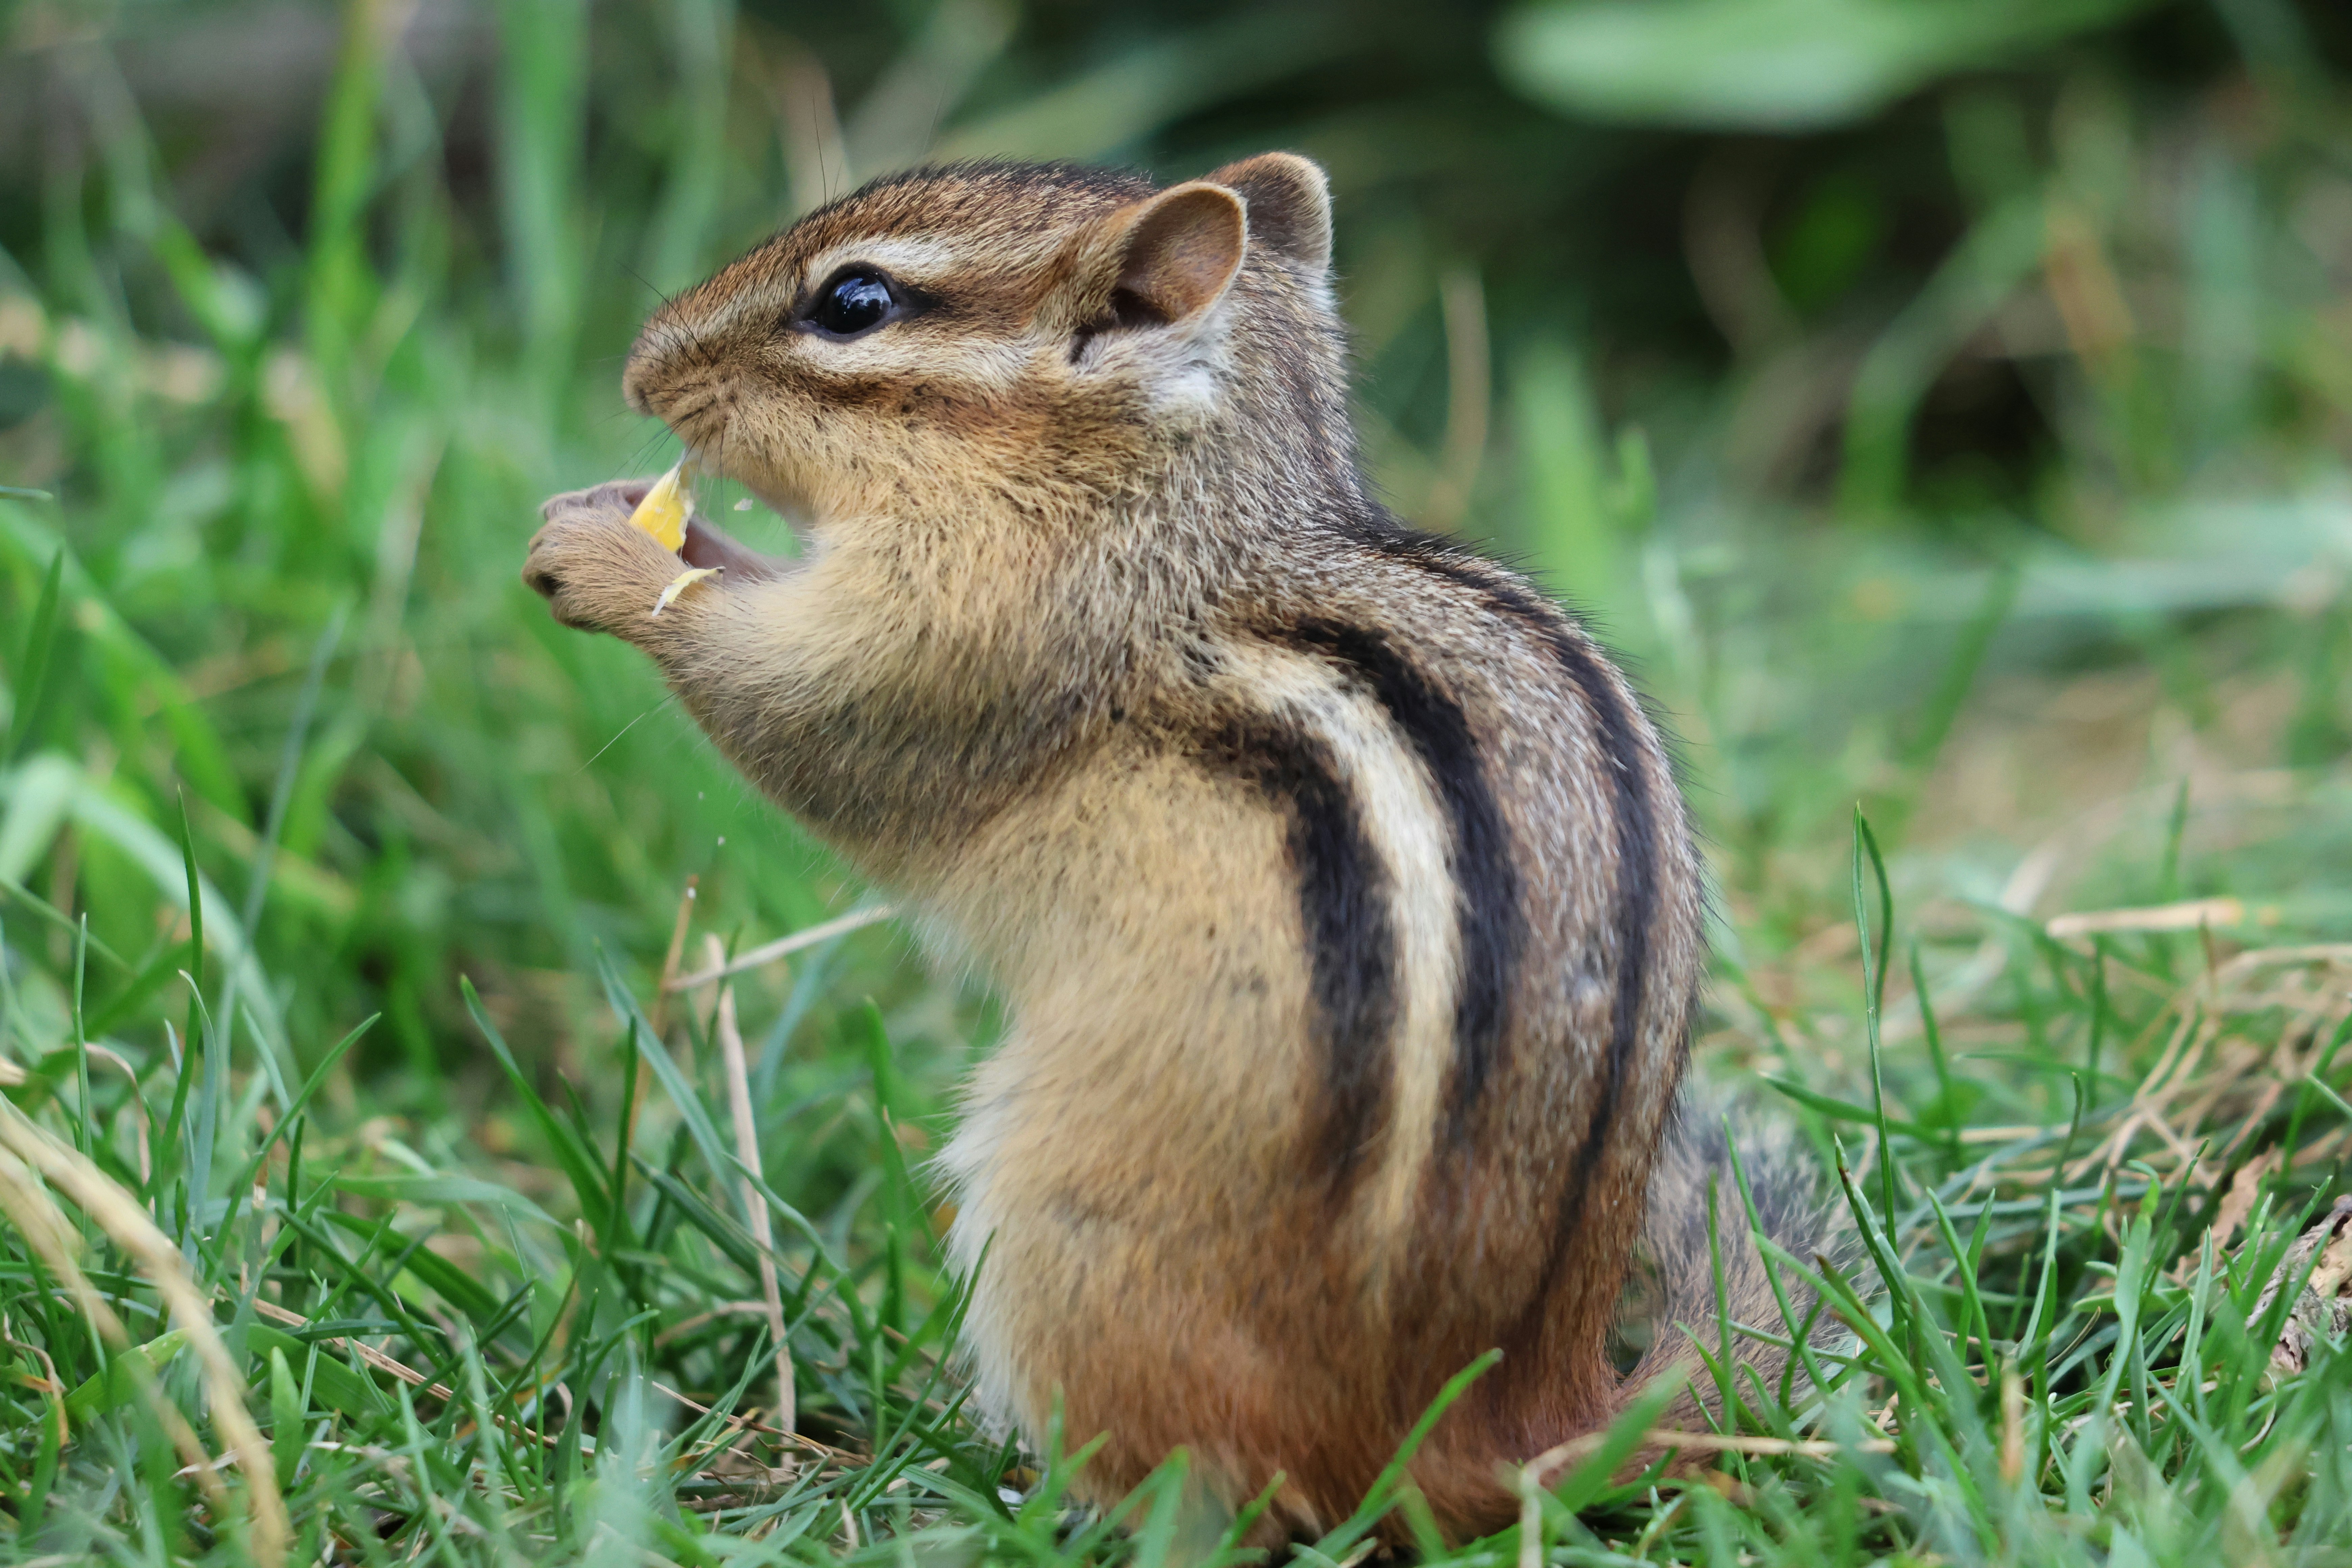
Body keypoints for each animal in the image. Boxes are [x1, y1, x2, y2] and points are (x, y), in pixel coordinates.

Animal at [522, 154, 1843, 1544]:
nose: (639, 366)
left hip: (1063, 1235)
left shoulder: (966, 648)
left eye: (854, 302)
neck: (1165, 508)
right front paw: (621, 515)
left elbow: (798, 712)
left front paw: (601, 558)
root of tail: (1505, 1429)